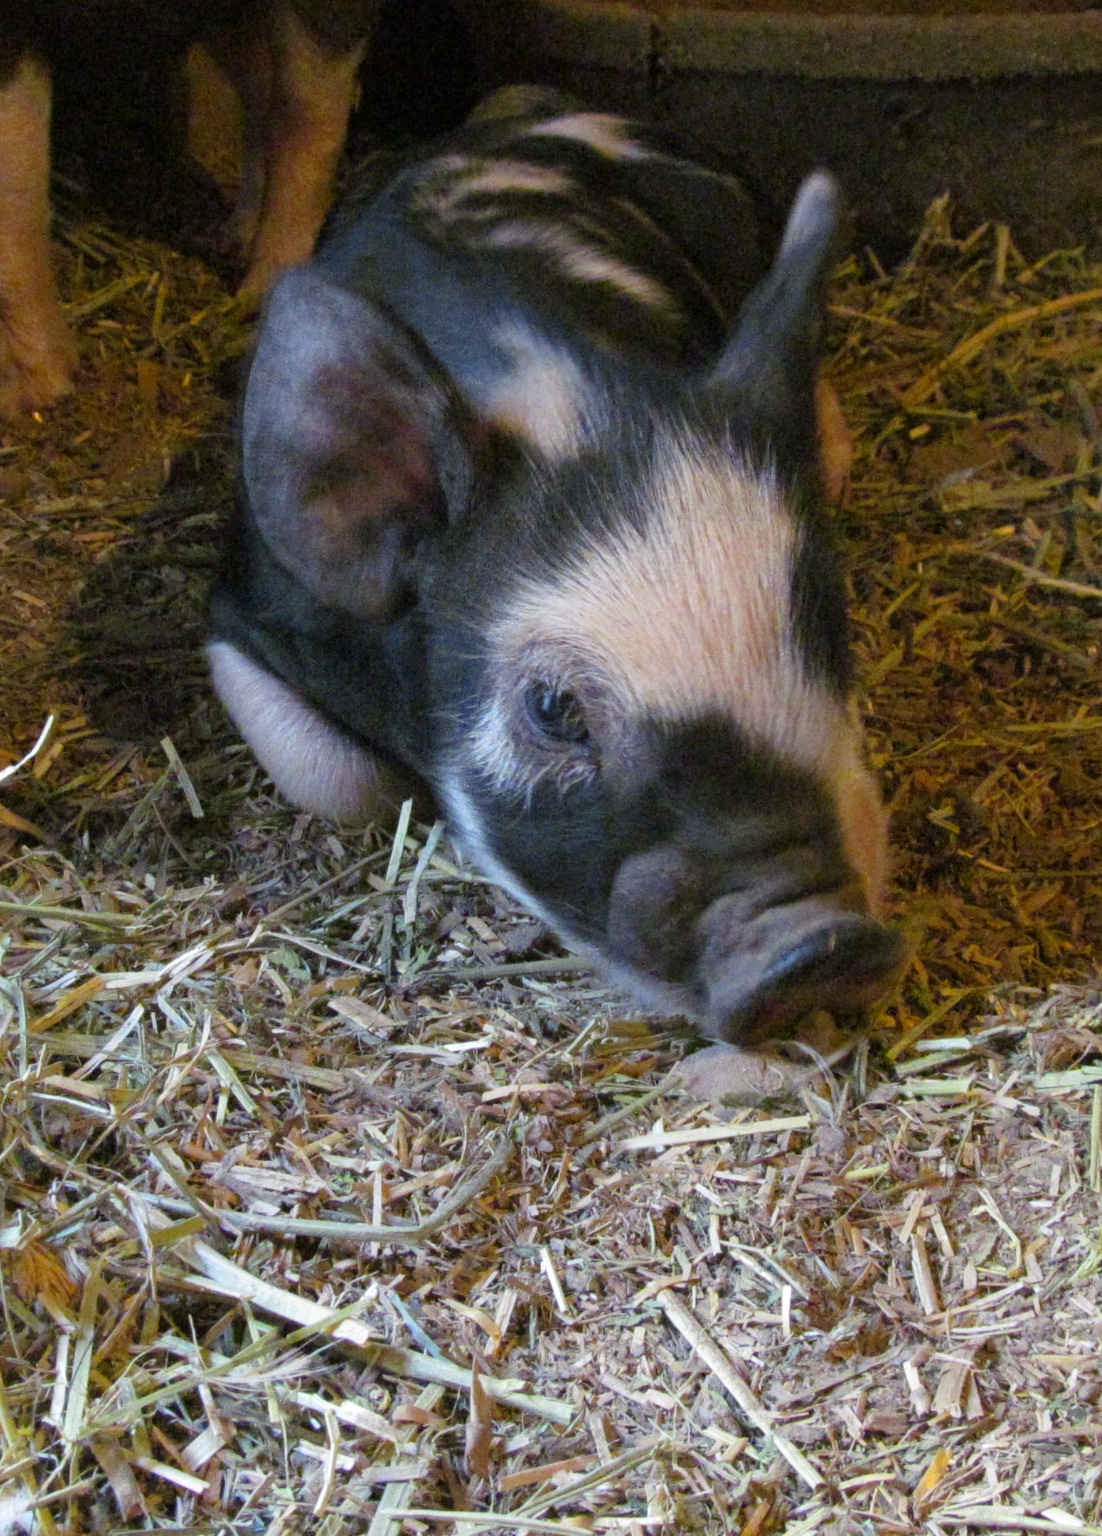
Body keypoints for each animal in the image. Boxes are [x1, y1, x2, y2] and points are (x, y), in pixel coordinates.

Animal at [208, 91, 906, 1066]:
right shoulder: (245, 611)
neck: (572, 403)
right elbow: (339, 784)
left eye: (828, 628)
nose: (826, 943)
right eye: (553, 710)